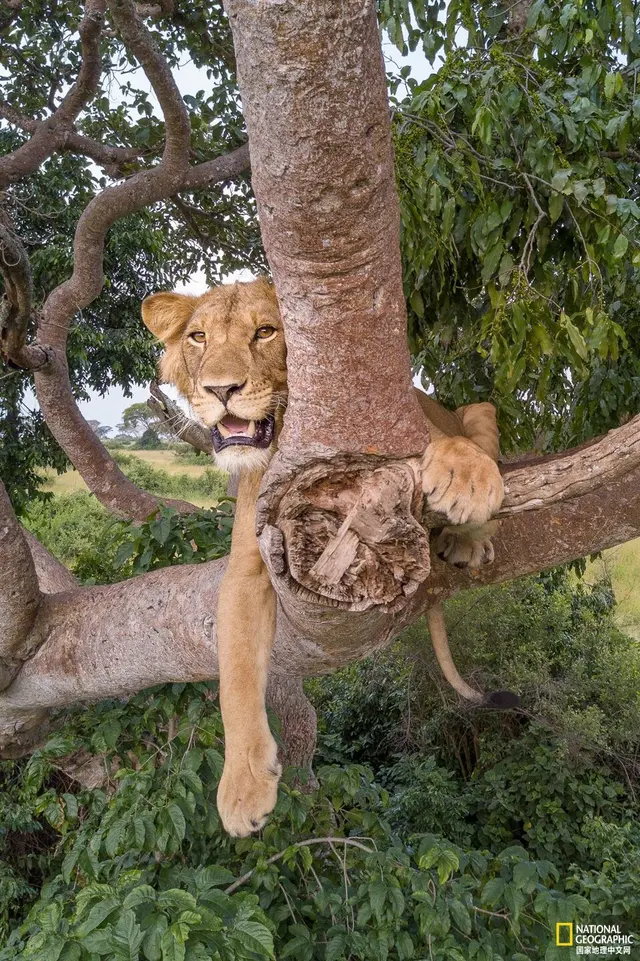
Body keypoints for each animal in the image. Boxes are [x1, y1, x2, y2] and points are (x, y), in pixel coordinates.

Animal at [141, 277, 505, 837]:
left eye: (266, 332)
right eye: (198, 337)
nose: (221, 390)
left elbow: (442, 444)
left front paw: (466, 474)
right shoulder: (245, 571)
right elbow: (234, 679)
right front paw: (242, 786)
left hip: (480, 409)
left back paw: (468, 536)